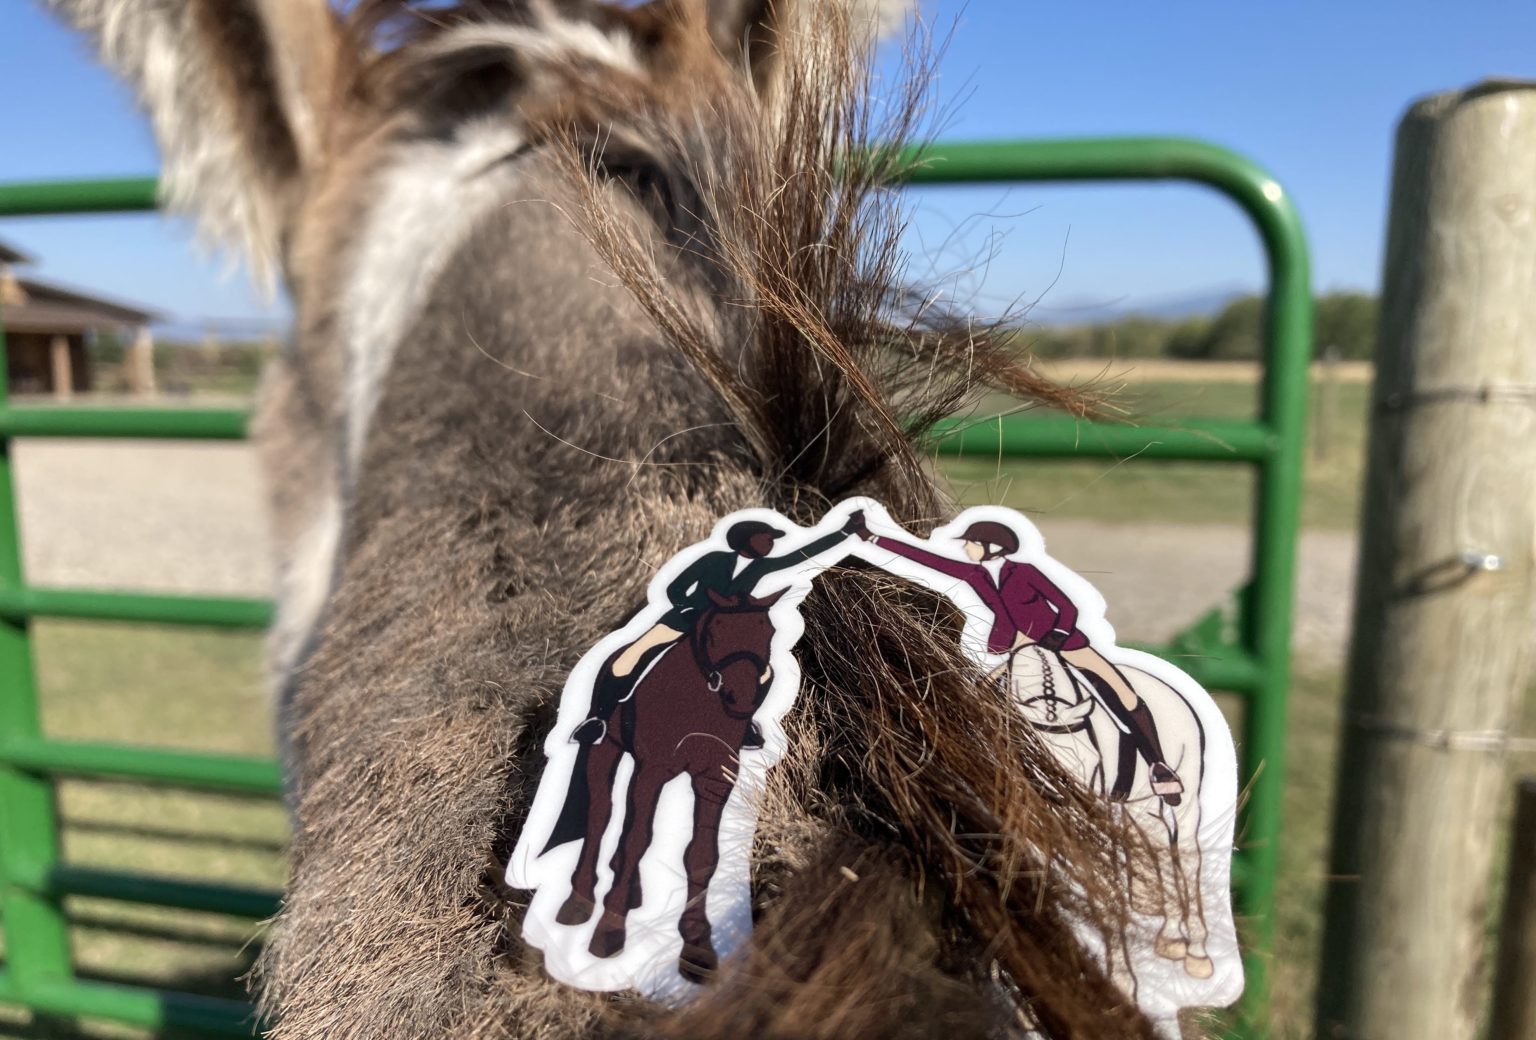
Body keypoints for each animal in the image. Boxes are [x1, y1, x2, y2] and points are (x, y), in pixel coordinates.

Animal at [549, 589, 783, 982]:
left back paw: (631, 892)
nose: (741, 699)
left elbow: (702, 855)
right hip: (604, 750)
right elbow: (635, 840)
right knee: (601, 816)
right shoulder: (652, 770)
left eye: (768, 632)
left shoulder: (715, 779)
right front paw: (609, 931)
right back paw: (579, 902)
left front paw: (697, 946)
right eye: (716, 630)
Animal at [1007, 644, 1216, 980]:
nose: (1069, 802)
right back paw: (1171, 937)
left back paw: (1196, 951)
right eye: (1034, 756)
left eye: (1093, 765)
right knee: (1159, 848)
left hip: (1185, 793)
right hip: (1142, 805)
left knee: (1186, 855)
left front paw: (1119, 973)